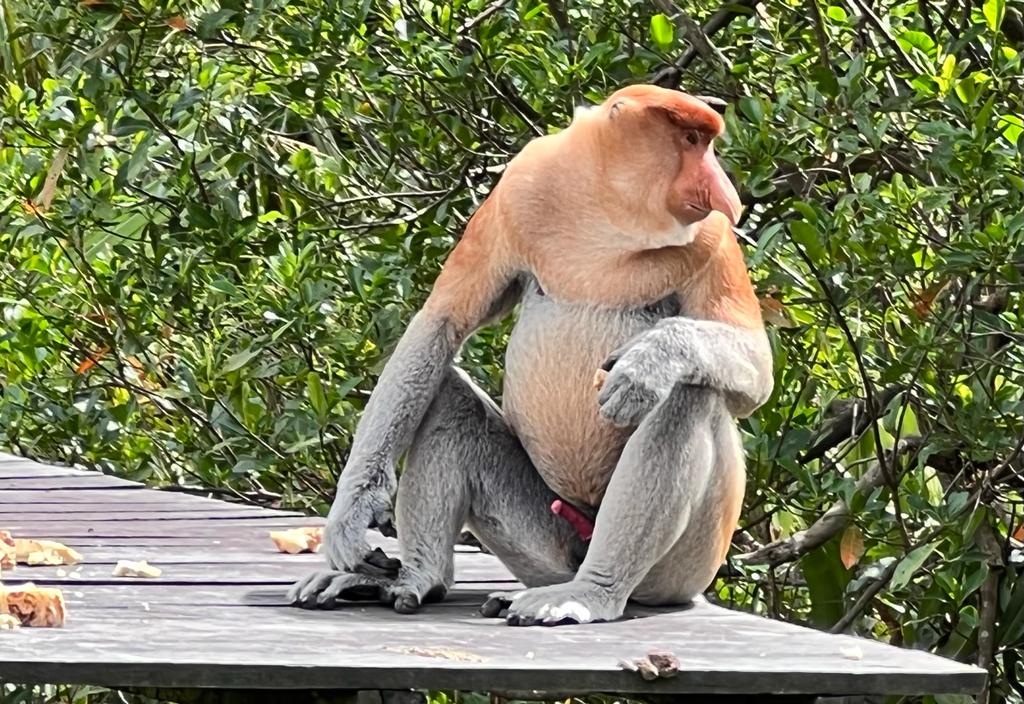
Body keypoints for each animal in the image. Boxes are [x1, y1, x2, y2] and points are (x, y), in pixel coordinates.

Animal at [288, 84, 774, 626]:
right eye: (691, 140)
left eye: (706, 143)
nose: (725, 193)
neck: (612, 215)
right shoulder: (517, 191)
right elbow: (440, 325)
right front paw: (351, 519)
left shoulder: (713, 238)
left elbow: (756, 368)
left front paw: (648, 363)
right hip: (543, 539)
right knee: (449, 398)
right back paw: (415, 578)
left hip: (686, 567)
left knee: (688, 397)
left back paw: (589, 592)